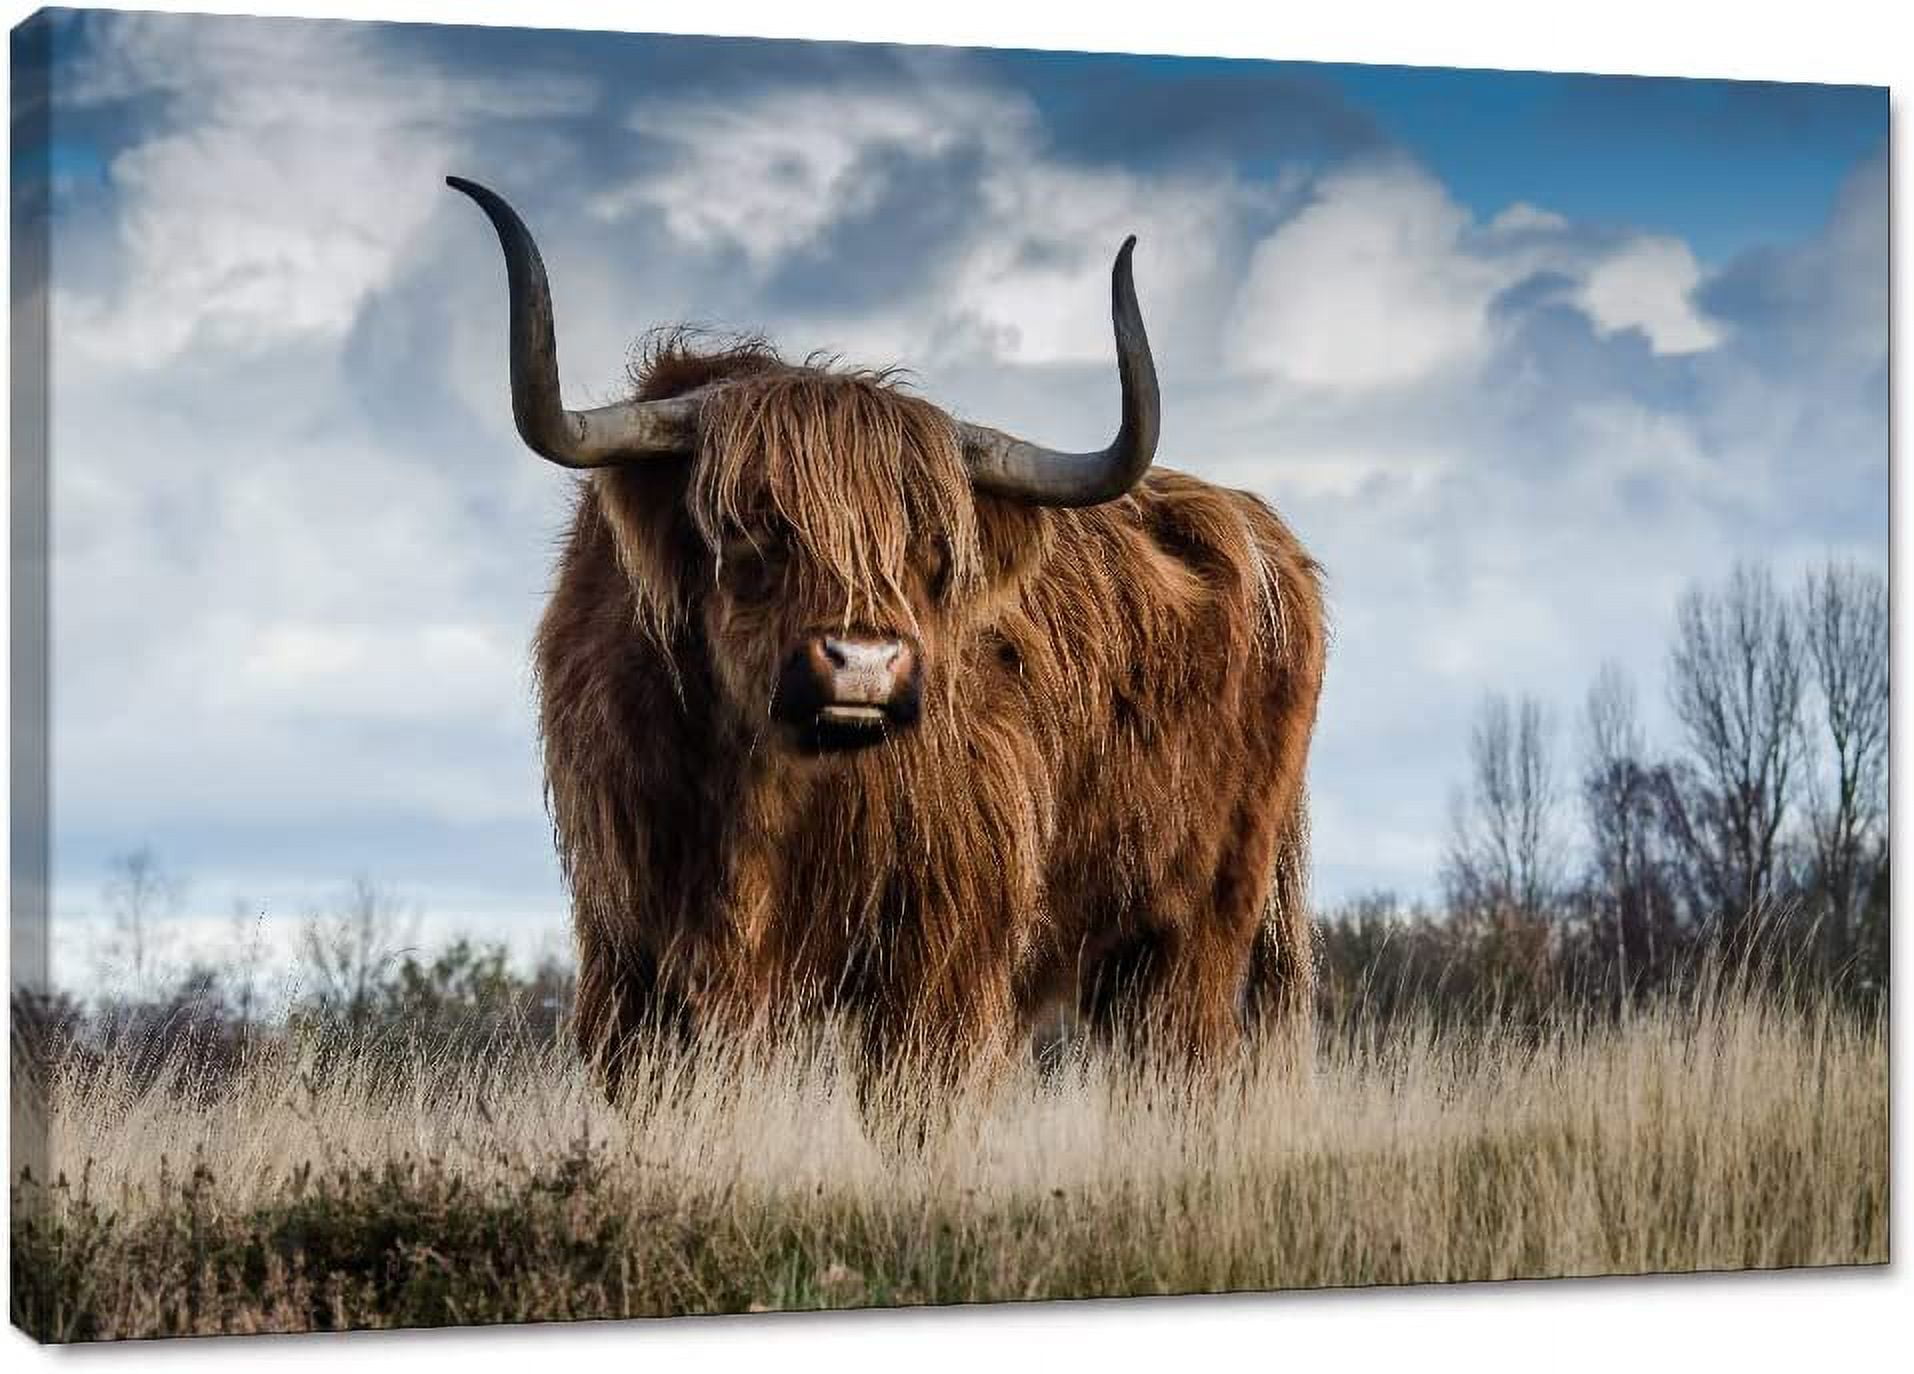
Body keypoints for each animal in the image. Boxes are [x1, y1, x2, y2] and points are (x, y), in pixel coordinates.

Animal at [449, 177, 1326, 1098]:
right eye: (752, 526)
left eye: (932, 546)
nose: (863, 665)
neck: (760, 791)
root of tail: (1263, 531)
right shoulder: (632, 950)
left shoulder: (942, 951)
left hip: (1198, 927)